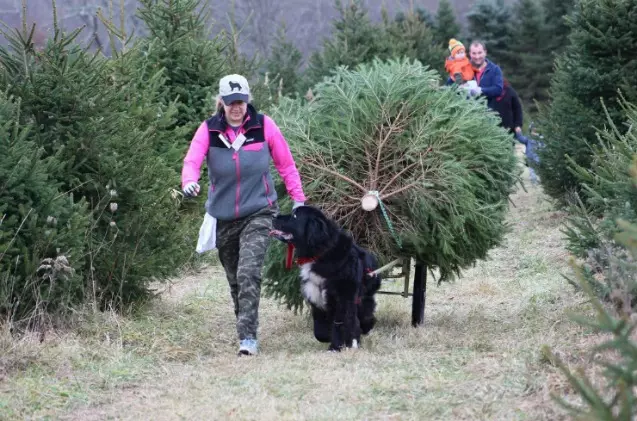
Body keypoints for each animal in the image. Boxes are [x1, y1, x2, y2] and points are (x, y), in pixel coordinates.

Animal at [270, 205, 380, 350]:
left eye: (295, 216)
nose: (273, 215)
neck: (320, 253)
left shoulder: (343, 297)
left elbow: (341, 322)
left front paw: (337, 346)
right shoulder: (315, 295)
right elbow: (319, 330)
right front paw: (329, 338)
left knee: (365, 315)